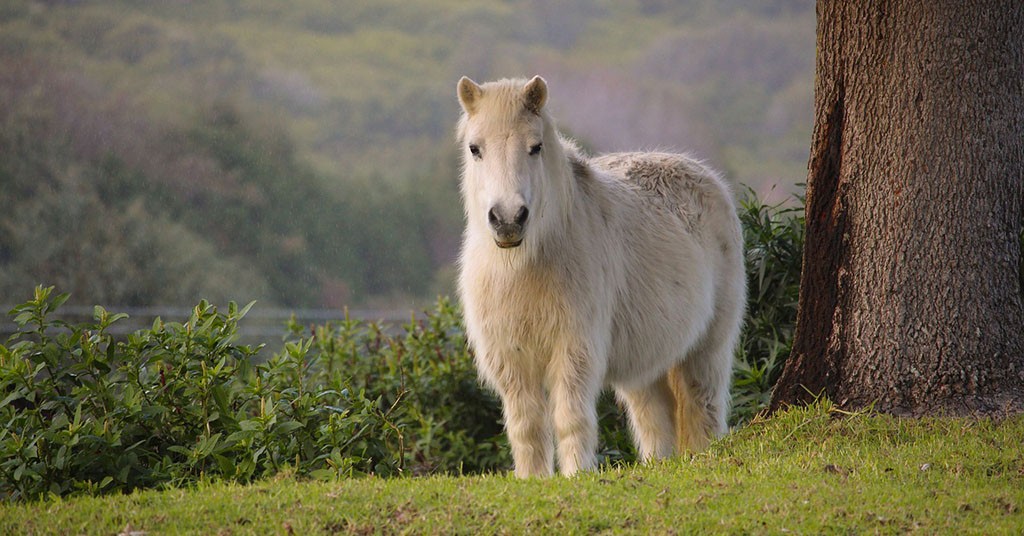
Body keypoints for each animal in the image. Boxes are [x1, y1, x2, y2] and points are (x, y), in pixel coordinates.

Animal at [455, 76, 746, 477]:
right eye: (475, 148)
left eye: (535, 147)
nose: (509, 220)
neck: (524, 267)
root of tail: (706, 177)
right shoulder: (510, 359)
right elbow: (526, 427)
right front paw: (533, 479)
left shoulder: (574, 349)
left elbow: (570, 418)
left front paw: (577, 474)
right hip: (646, 367)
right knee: (655, 420)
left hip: (707, 349)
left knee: (704, 408)